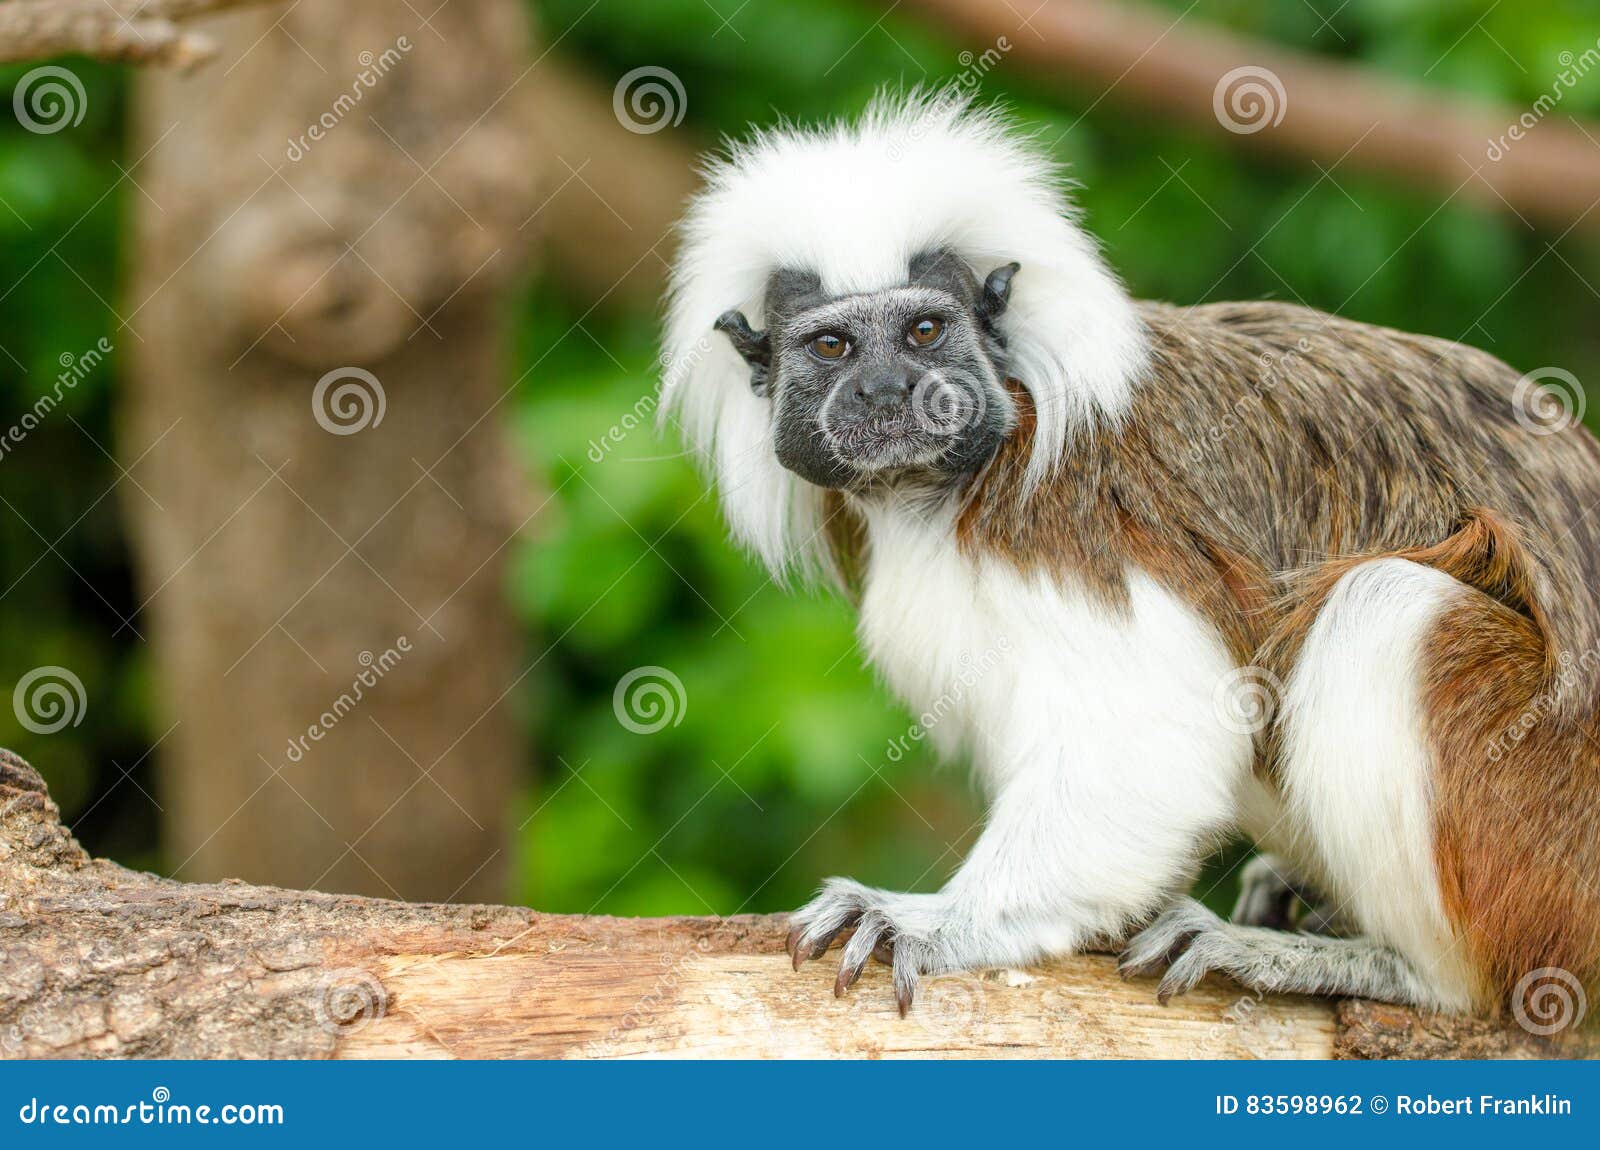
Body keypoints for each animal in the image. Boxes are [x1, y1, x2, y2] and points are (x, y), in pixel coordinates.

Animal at [659, 91, 1600, 1023]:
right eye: (832, 347)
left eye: (925, 331)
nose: (890, 394)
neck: (937, 489)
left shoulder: (1071, 519)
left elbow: (1147, 741)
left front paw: (932, 922)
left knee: (1388, 603)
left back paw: (1386, 969)